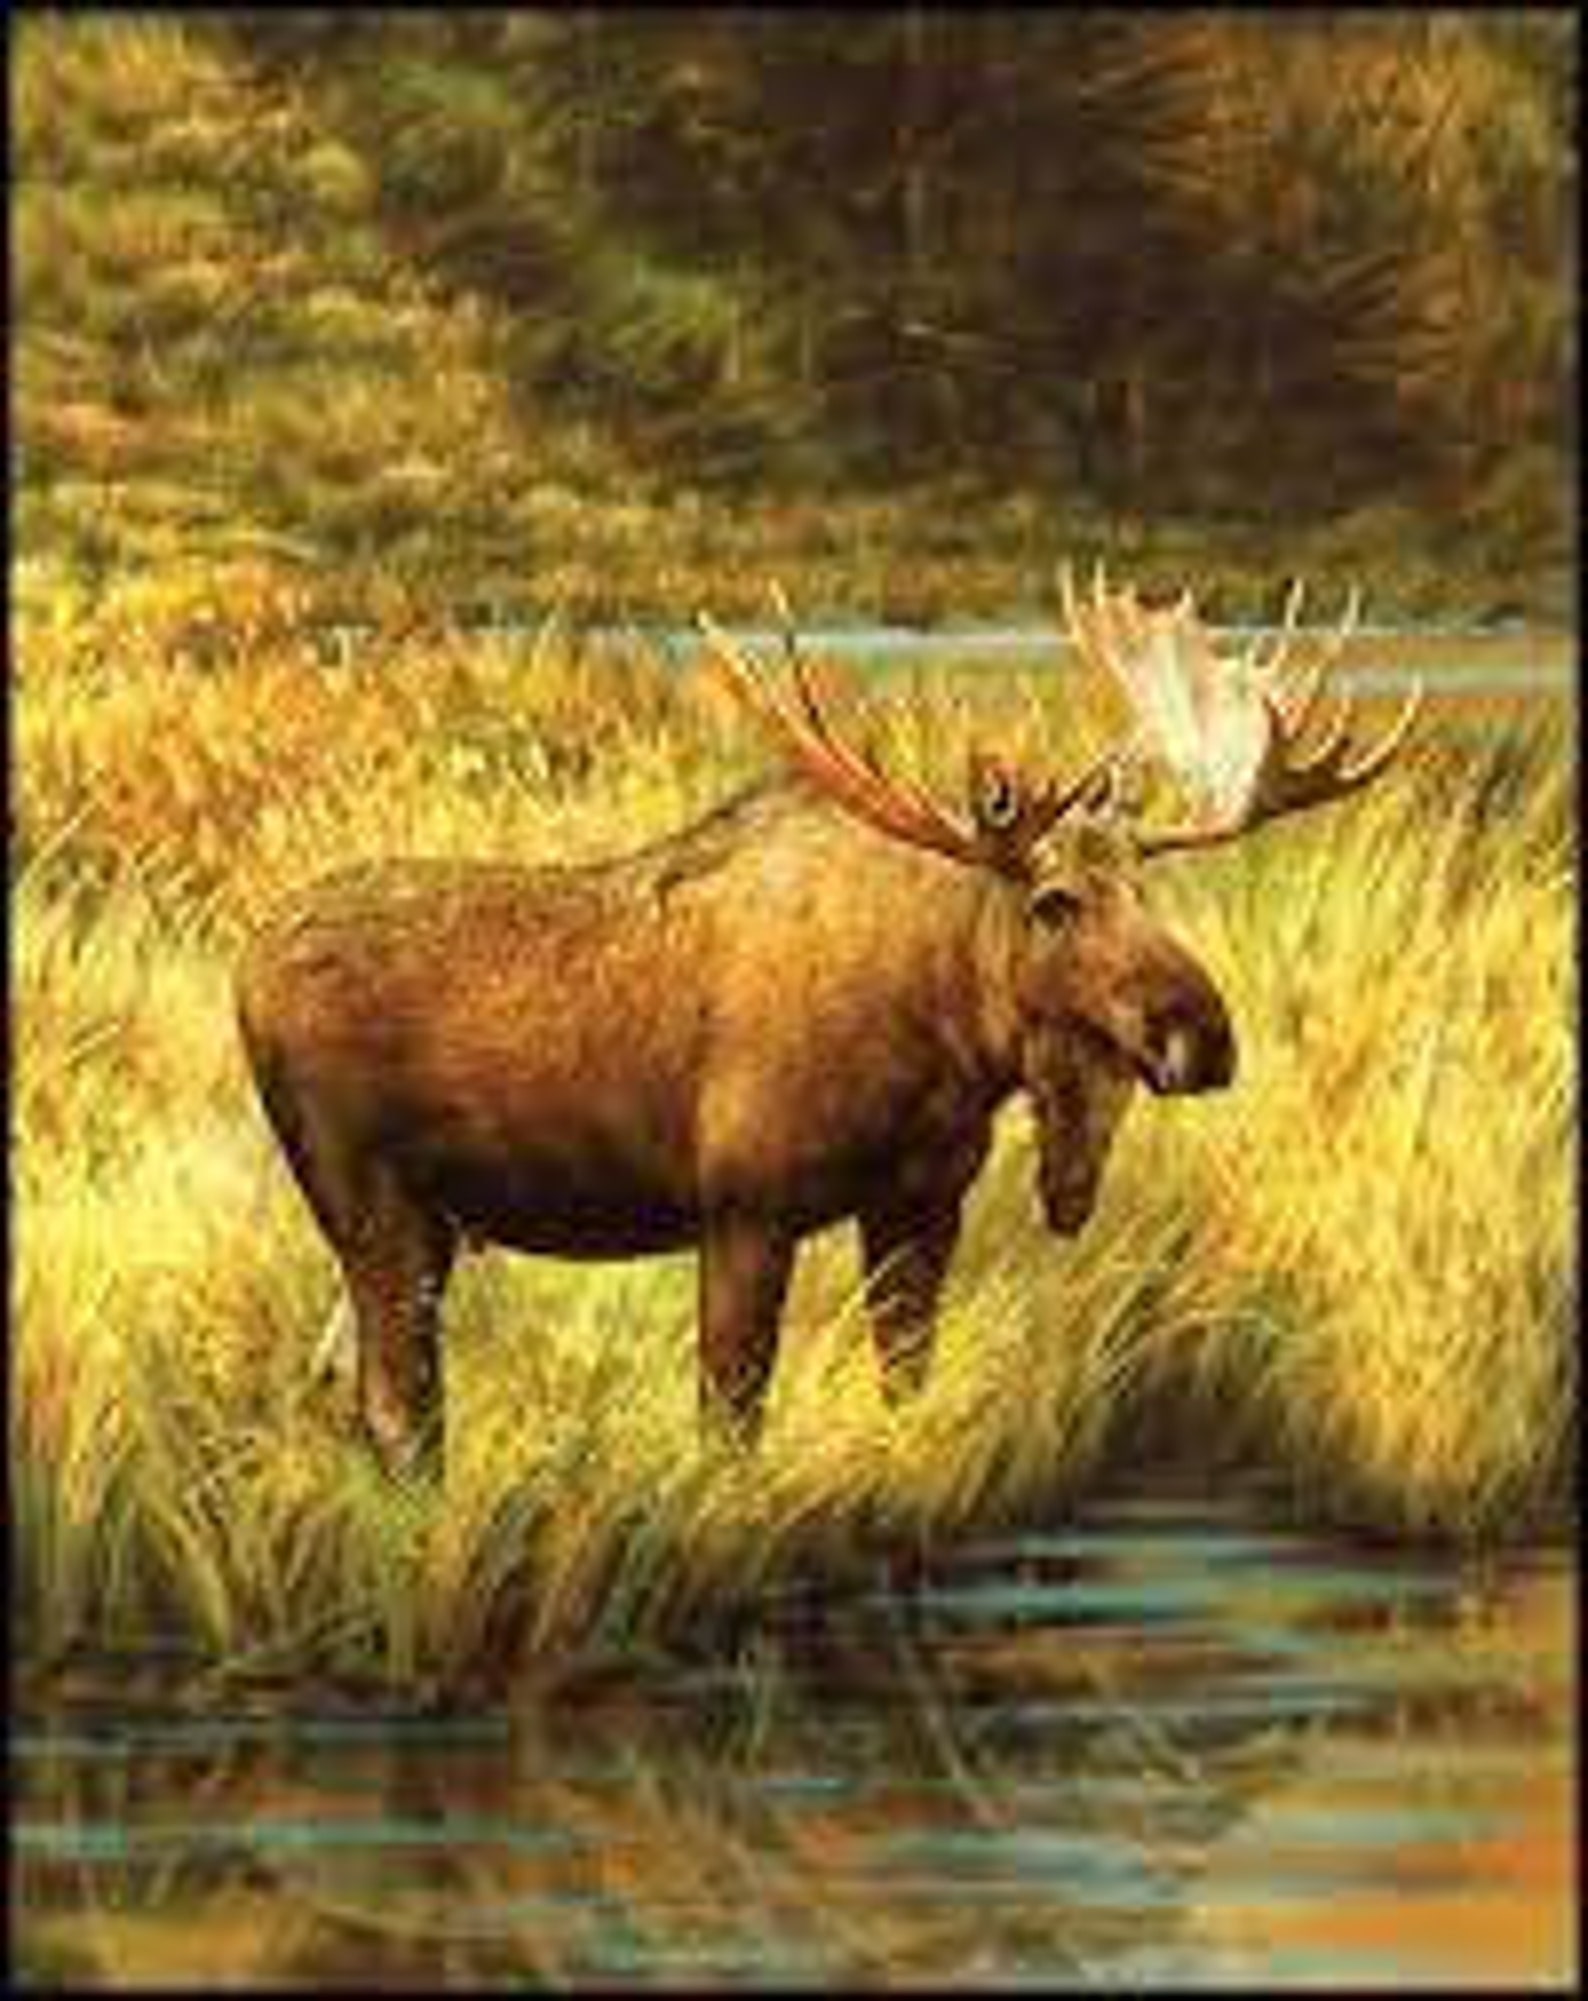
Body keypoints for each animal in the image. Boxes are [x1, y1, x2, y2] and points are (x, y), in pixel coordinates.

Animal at [235, 571, 1420, 1479]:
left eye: (1151, 887)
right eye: (1053, 902)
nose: (1204, 1035)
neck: (951, 1044)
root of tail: (242, 968)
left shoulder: (920, 1204)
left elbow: (905, 1382)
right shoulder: (743, 1208)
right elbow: (729, 1419)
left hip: (426, 1223)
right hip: (366, 1202)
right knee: (398, 1404)